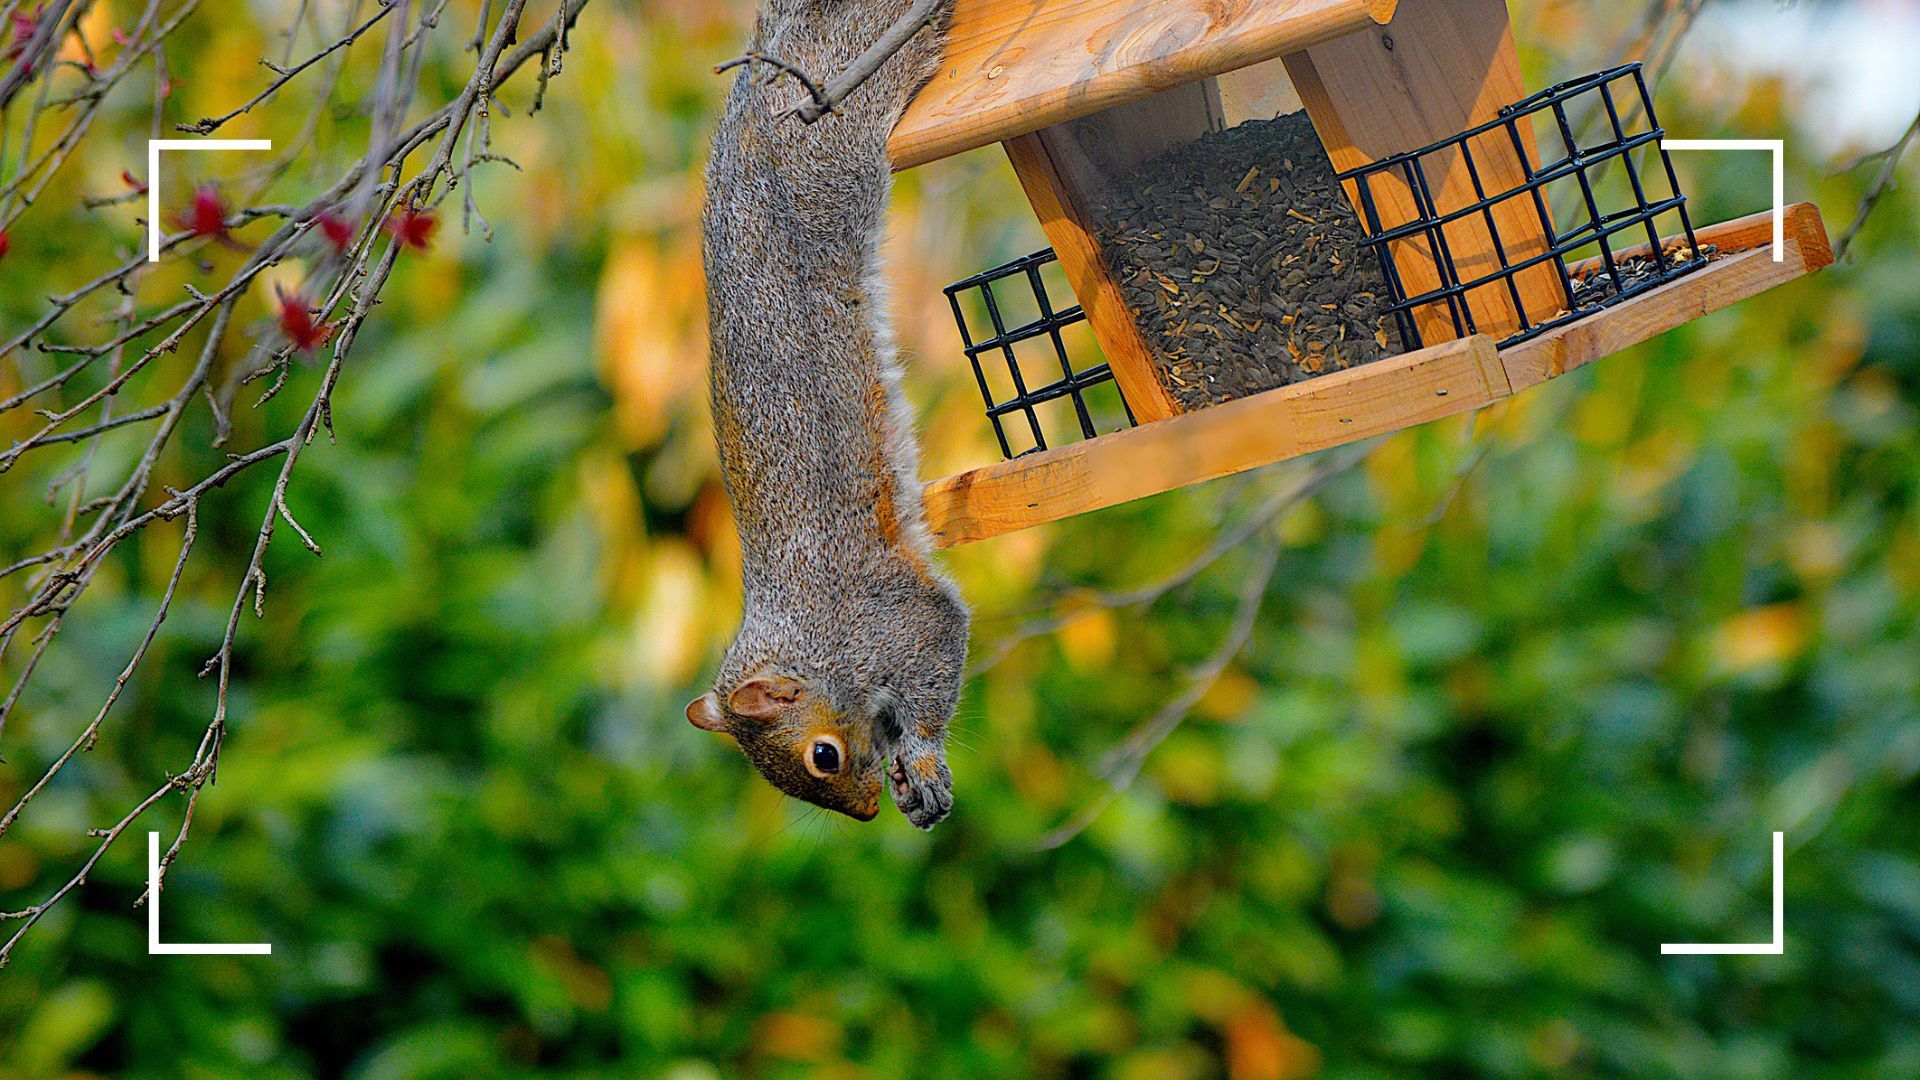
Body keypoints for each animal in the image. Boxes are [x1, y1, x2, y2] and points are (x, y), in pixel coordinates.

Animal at [687, 0, 967, 830]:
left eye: (823, 756)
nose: (869, 813)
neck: (815, 639)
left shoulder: (893, 618)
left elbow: (939, 649)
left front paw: (923, 760)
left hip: (842, 113)